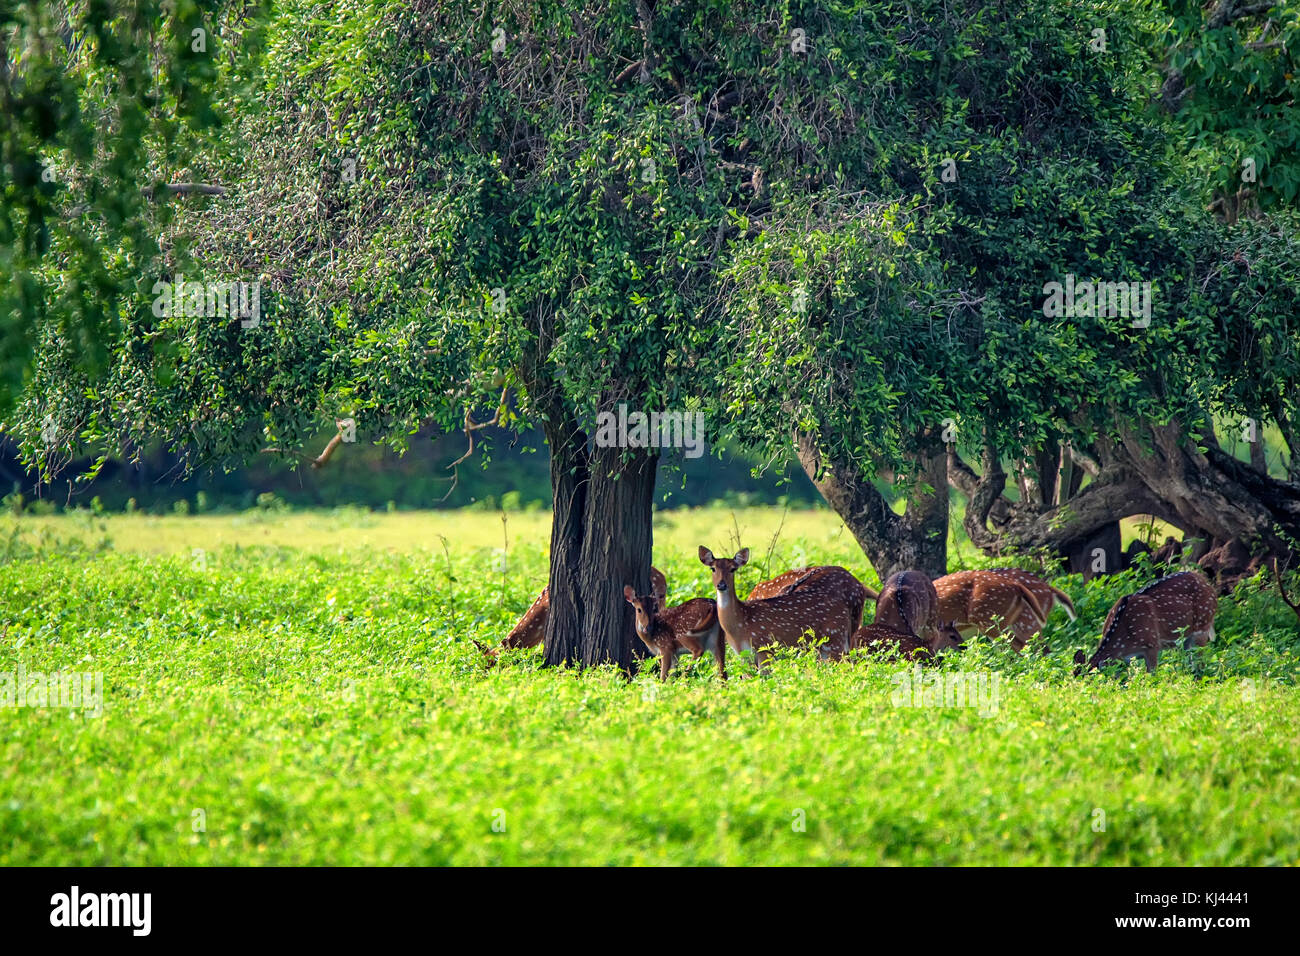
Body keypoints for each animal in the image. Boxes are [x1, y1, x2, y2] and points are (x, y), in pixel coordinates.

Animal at [698, 546, 868, 667]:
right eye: (713, 568)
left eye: (733, 569)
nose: (721, 585)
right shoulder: (743, 655)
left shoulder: (764, 646)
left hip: (837, 639)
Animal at [1073, 571, 1217, 674]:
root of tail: (1208, 584)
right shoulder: (1124, 659)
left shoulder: (1152, 644)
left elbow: (1152, 675)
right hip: (1186, 639)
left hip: (1202, 625)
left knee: (1200, 663)